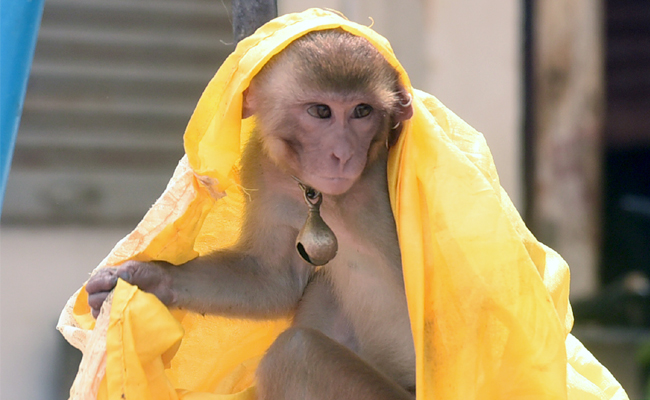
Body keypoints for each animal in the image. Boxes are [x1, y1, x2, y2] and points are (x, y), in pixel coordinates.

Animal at [85, 29, 415, 400]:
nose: (343, 155)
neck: (333, 199)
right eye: (321, 111)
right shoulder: (263, 166)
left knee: (295, 351)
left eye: (362, 111)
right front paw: (146, 277)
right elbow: (273, 277)